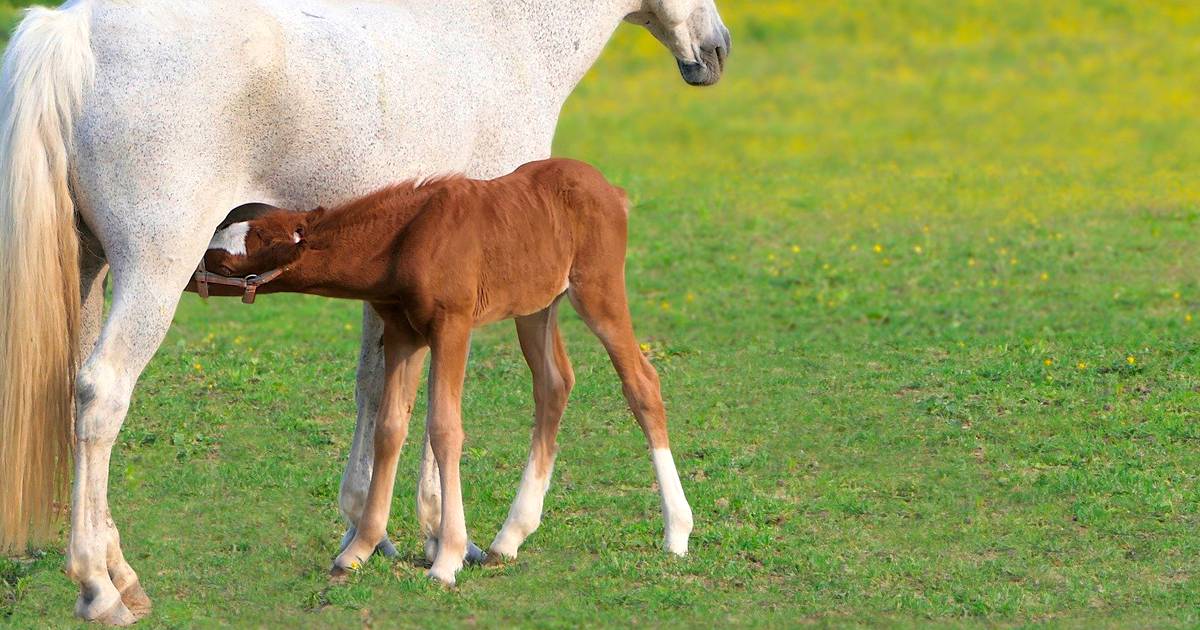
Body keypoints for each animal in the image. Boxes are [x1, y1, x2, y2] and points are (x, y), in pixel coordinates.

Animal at [199, 158, 694, 585]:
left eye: (225, 260)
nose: (192, 274)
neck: (404, 240)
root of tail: (611, 190)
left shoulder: (452, 326)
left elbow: (444, 427)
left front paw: (447, 558)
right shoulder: (404, 333)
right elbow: (390, 427)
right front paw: (359, 549)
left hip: (597, 289)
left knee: (641, 383)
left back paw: (676, 532)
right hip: (536, 306)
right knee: (554, 385)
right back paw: (509, 538)